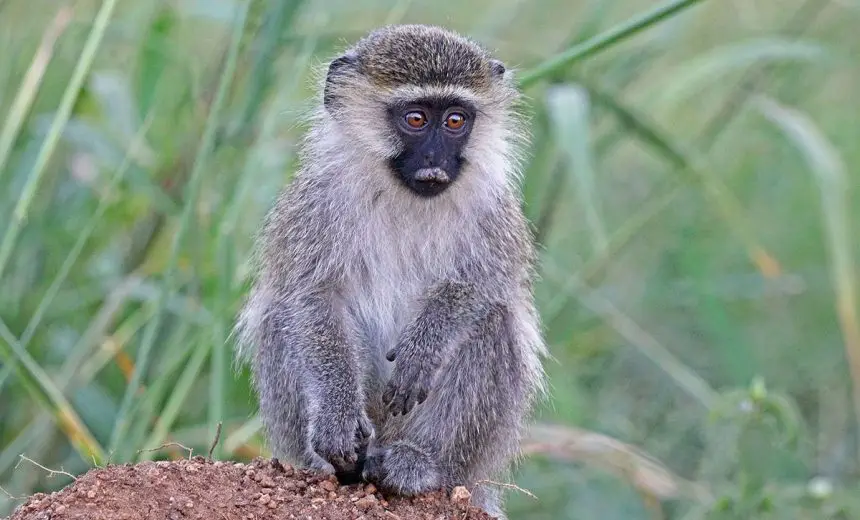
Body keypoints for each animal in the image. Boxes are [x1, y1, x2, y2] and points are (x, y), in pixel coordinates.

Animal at [235, 24, 547, 519]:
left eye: (455, 121)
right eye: (415, 119)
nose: (435, 160)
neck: (406, 197)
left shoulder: (497, 211)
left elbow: (481, 287)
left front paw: (424, 348)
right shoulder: (315, 203)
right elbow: (312, 298)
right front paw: (336, 420)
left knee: (493, 322)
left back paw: (419, 463)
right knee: (281, 318)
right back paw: (333, 463)